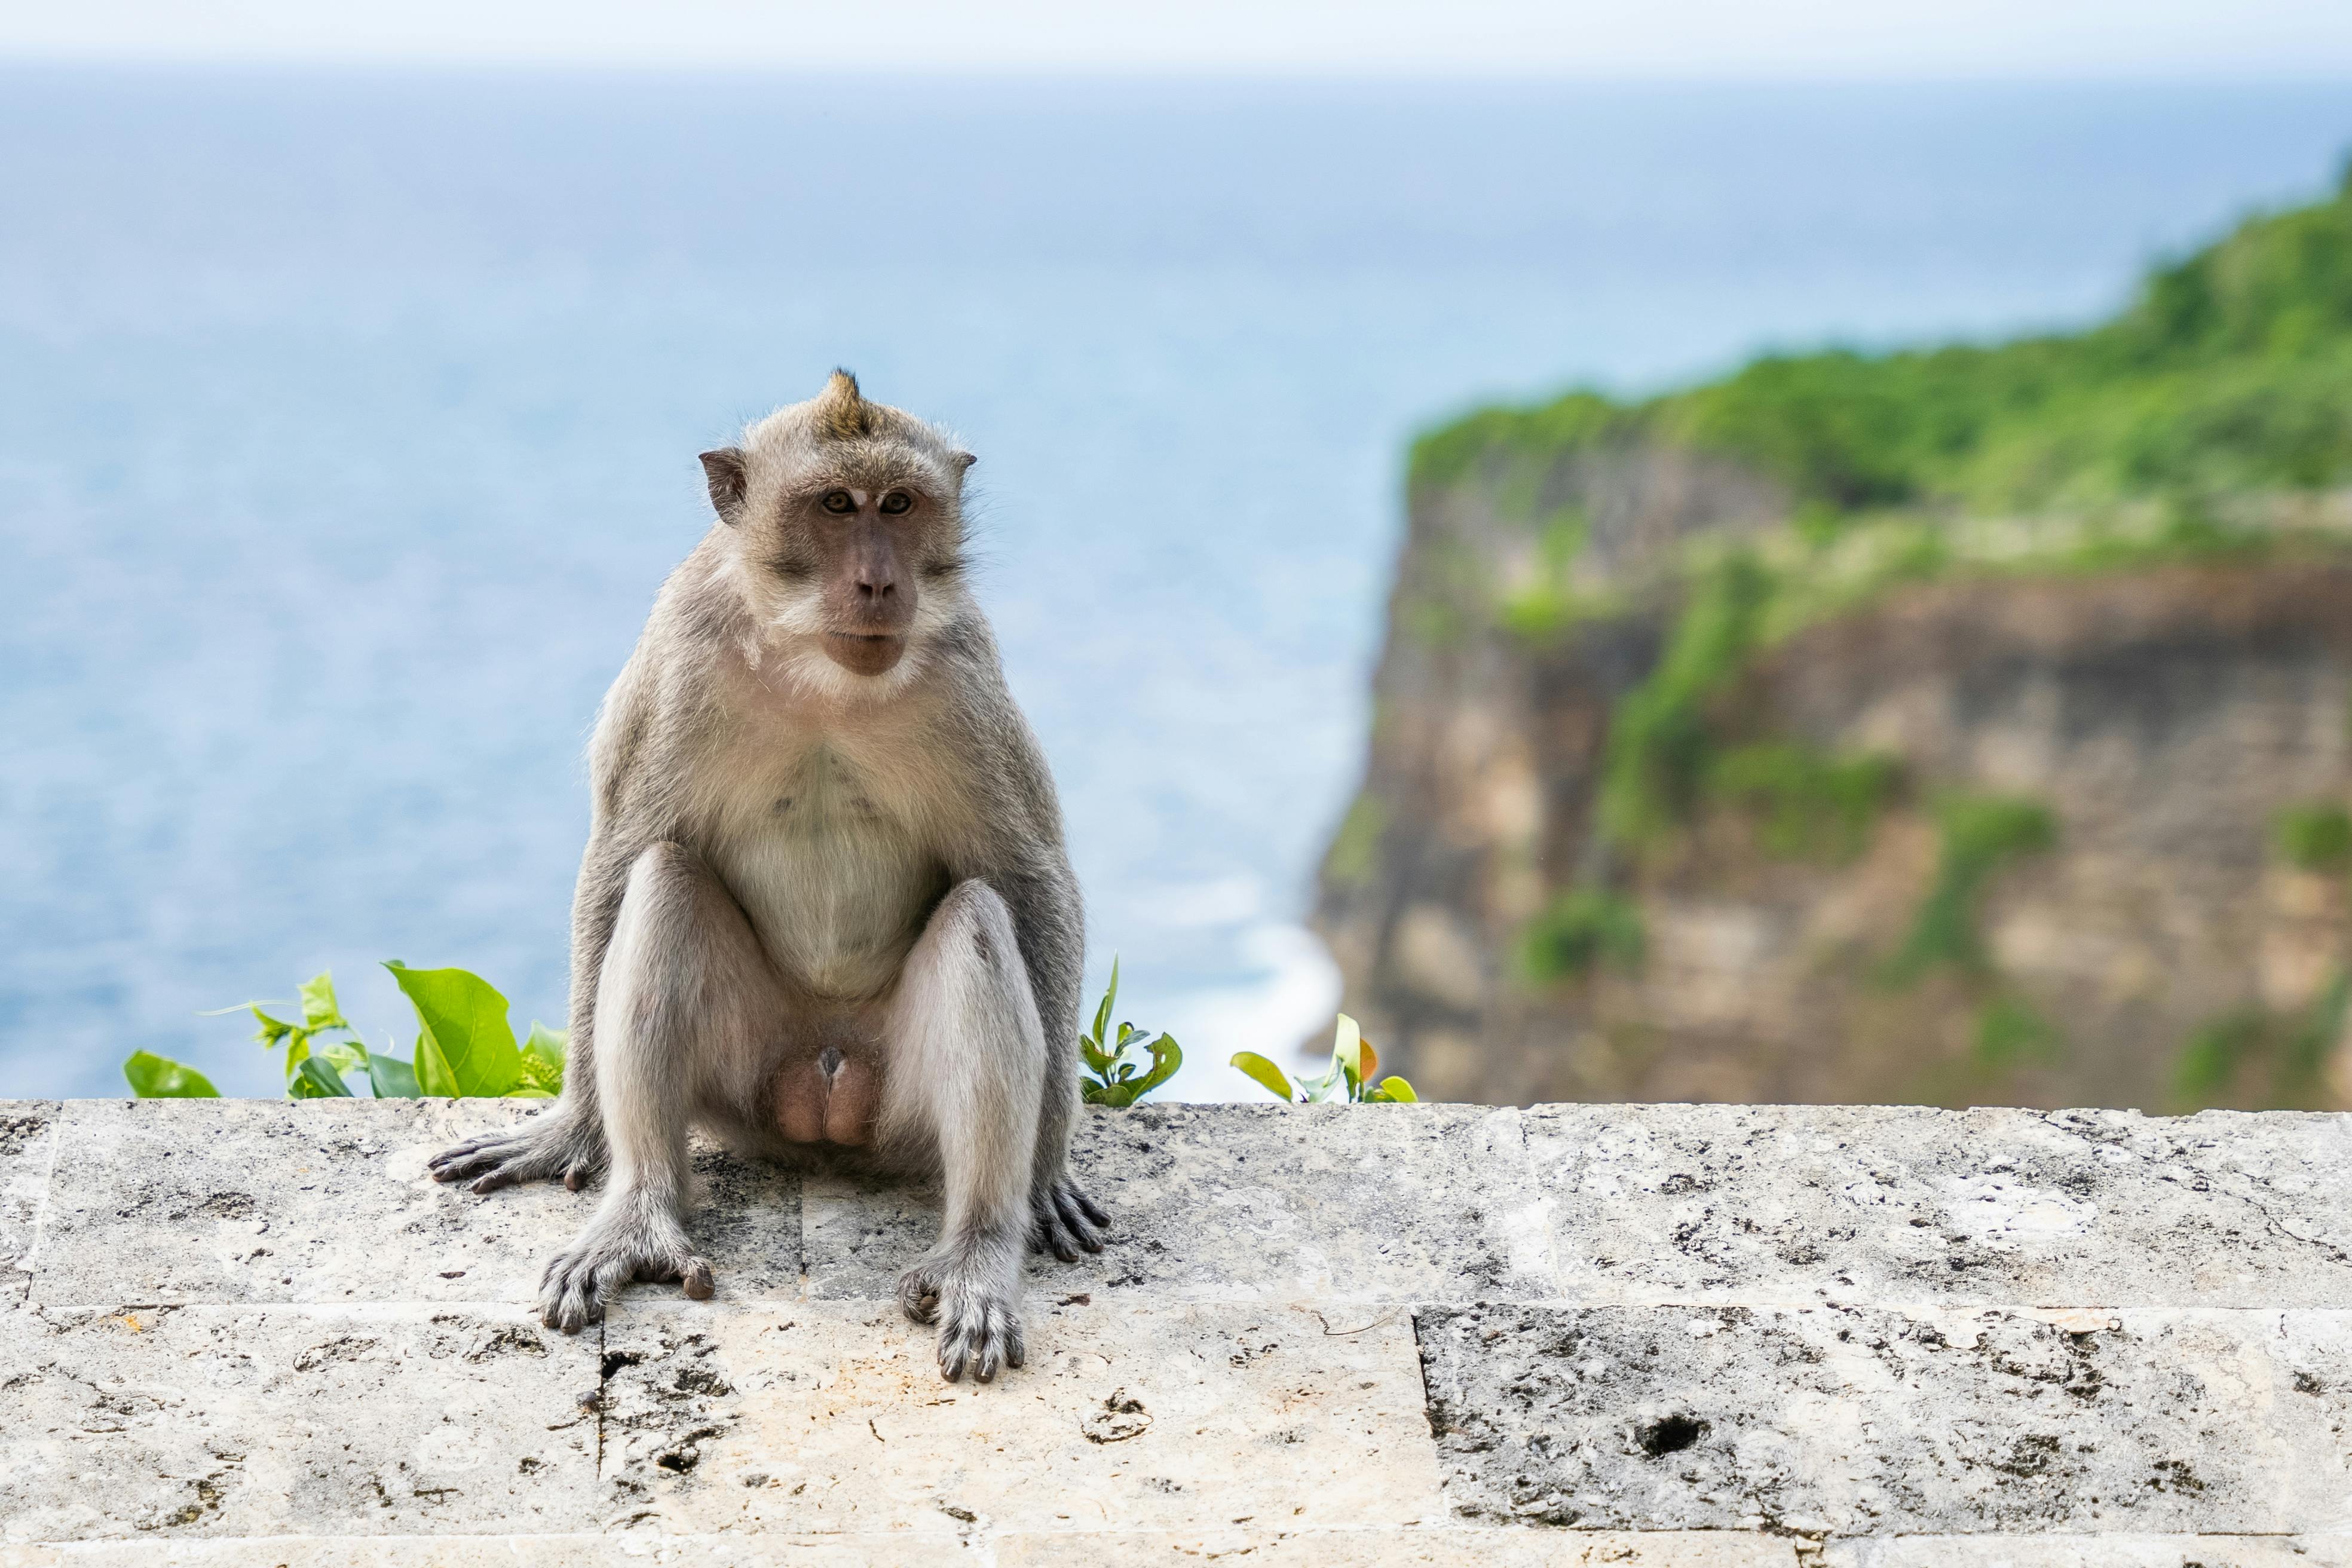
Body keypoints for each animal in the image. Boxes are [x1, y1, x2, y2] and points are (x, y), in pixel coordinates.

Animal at [426, 371, 1105, 1383]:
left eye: (899, 506)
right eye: (835, 506)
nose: (880, 582)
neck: (816, 664)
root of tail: (825, 1105)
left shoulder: (963, 669)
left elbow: (1025, 877)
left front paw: (1049, 1169)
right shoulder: (680, 653)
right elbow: (622, 855)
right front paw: (570, 1130)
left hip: (896, 1103)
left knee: (979, 918)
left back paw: (978, 1253)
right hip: (746, 1083)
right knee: (666, 883)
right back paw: (638, 1217)